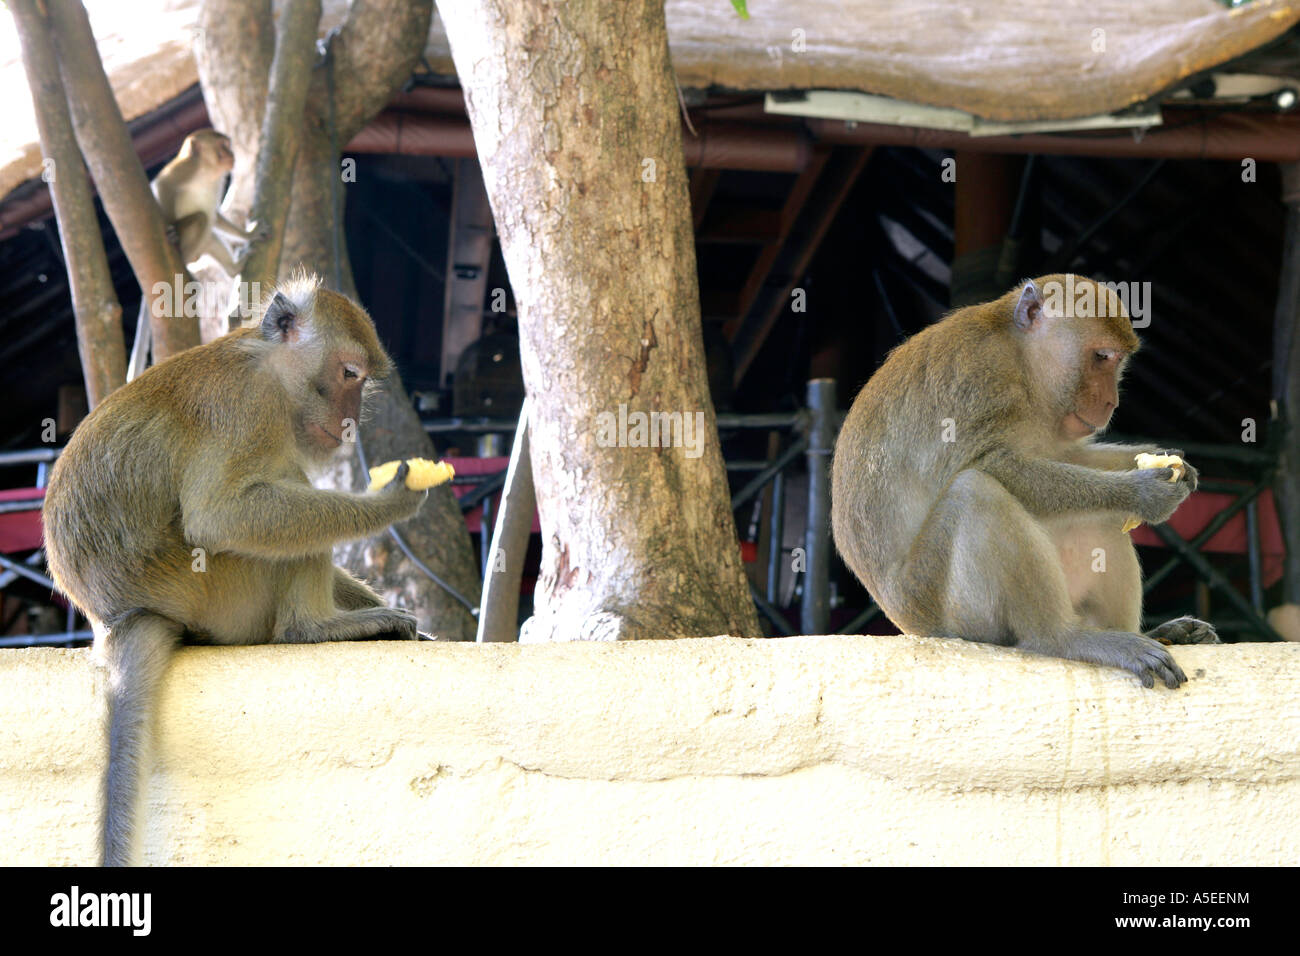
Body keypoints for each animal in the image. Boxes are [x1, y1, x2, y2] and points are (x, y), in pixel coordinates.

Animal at [43, 275, 427, 866]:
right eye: (349, 374)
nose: (349, 419)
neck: (268, 364)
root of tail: (117, 619)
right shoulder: (248, 405)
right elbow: (217, 516)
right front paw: (390, 502)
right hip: (210, 589)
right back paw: (311, 628)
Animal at [128, 129, 261, 380]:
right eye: (222, 146)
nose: (231, 154)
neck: (206, 173)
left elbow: (216, 216)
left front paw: (249, 234)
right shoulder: (182, 170)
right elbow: (162, 188)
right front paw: (171, 227)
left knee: (208, 228)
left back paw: (233, 268)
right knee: (200, 219)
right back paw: (184, 258)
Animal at [830, 274, 1218, 690]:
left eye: (1118, 361)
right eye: (1101, 356)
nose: (1111, 402)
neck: (1020, 359)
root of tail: (908, 622)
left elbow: (1063, 457)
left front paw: (1169, 462)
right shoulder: (982, 377)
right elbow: (991, 464)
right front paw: (1142, 492)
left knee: (1098, 519)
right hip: (942, 605)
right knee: (975, 492)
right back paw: (1064, 638)